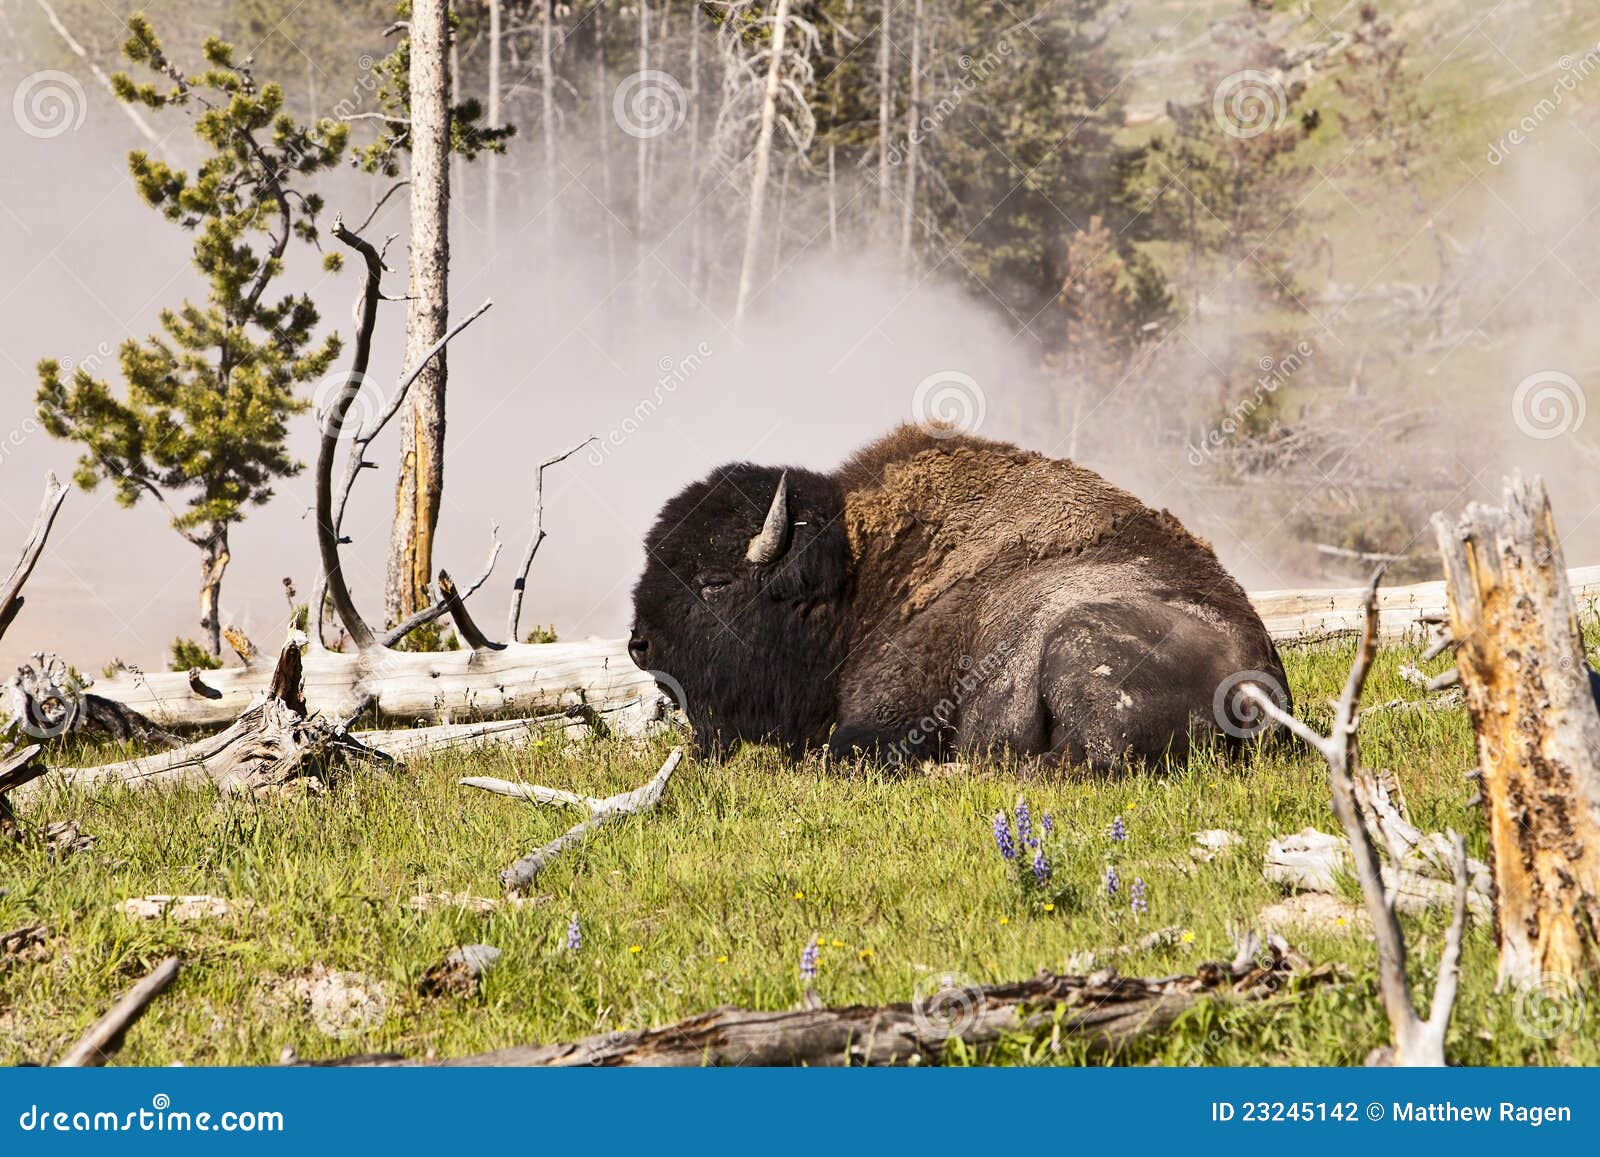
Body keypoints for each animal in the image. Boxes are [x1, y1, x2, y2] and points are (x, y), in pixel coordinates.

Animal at [628, 425, 1287, 769]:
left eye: (715, 583)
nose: (639, 646)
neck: (861, 569)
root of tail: (1258, 687)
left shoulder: (887, 714)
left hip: (1076, 643)